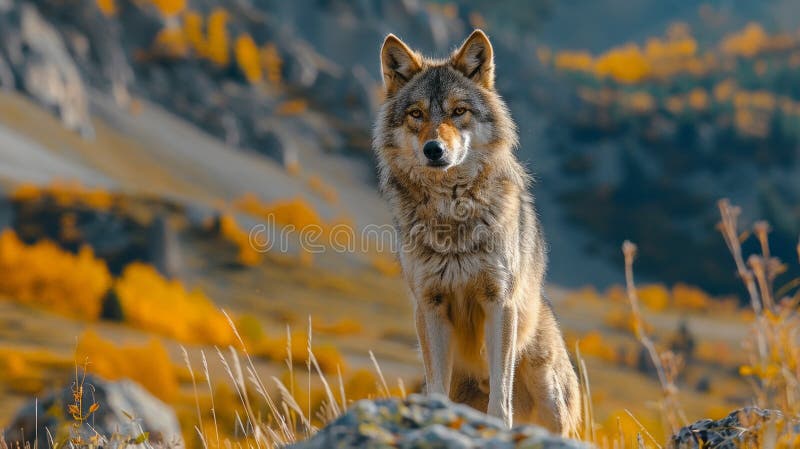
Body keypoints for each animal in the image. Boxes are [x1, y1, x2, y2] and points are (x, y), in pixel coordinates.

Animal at [372, 30, 581, 435]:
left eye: (458, 111)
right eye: (416, 114)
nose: (433, 149)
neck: (451, 215)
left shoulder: (498, 302)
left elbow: (501, 399)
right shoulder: (431, 306)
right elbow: (438, 389)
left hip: (547, 393)